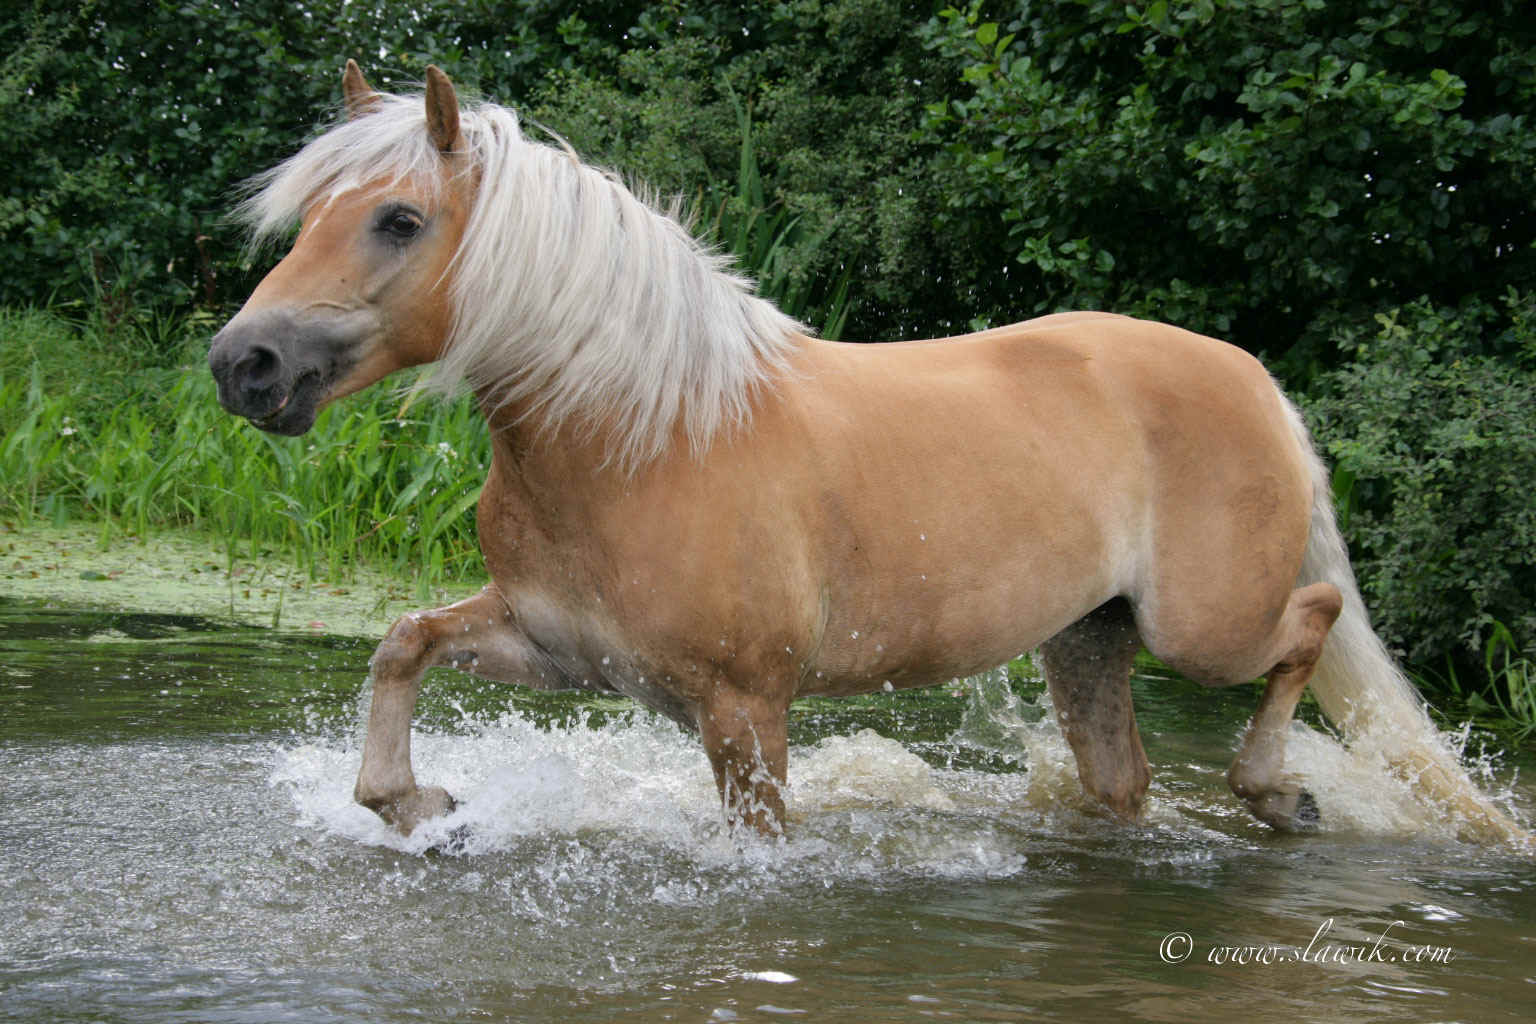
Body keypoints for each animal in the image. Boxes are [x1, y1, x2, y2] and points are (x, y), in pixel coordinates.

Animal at [208, 61, 1526, 846]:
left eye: (399, 219)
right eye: (310, 213)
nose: (245, 365)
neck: (640, 434)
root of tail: (1256, 382)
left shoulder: (745, 712)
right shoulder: (565, 648)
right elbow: (403, 639)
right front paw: (407, 798)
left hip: (1204, 627)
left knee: (1307, 622)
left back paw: (1276, 789)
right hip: (1088, 637)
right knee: (1124, 776)